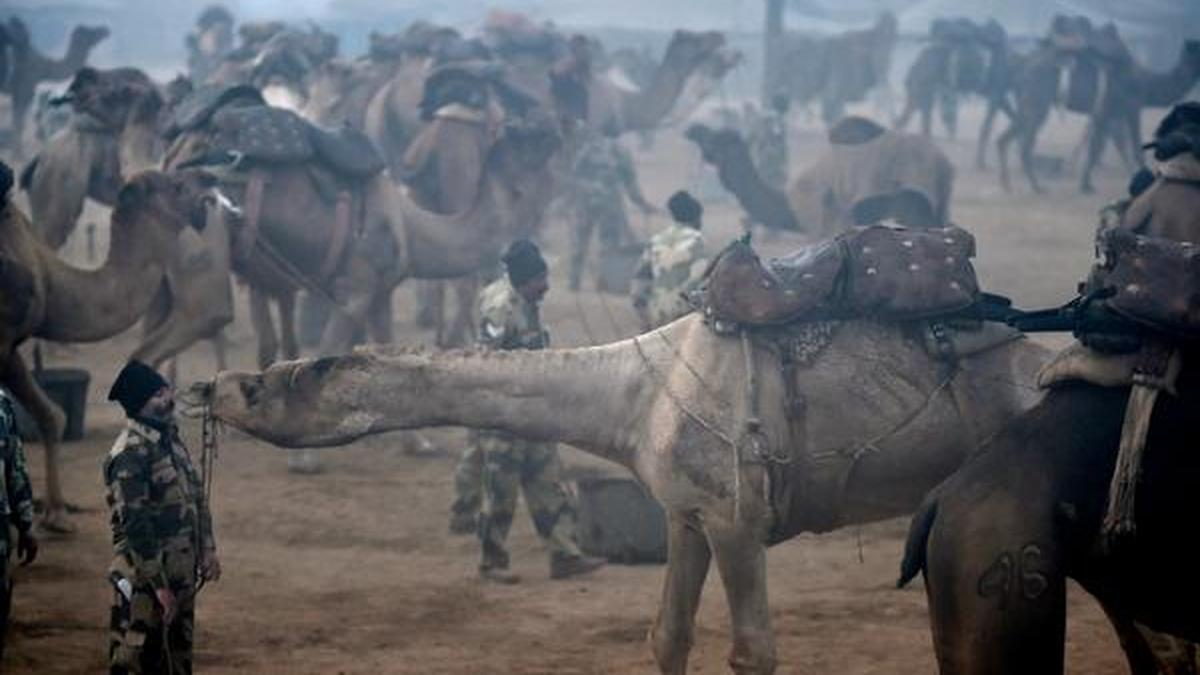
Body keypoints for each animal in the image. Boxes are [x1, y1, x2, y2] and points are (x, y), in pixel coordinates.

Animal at [0, 18, 108, 156]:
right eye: (89, 32)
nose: (105, 30)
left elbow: (18, 122)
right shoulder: (23, 90)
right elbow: (18, 123)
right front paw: (18, 153)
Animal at [0, 162, 214, 530]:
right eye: (175, 185)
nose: (208, 177)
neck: (47, 276)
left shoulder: (10, 344)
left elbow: (50, 414)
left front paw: (55, 512)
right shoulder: (2, 335)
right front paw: (53, 516)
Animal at [687, 118, 954, 237]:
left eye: (715, 142)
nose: (693, 130)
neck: (791, 204)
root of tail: (943, 163)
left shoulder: (828, 222)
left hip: (911, 201)